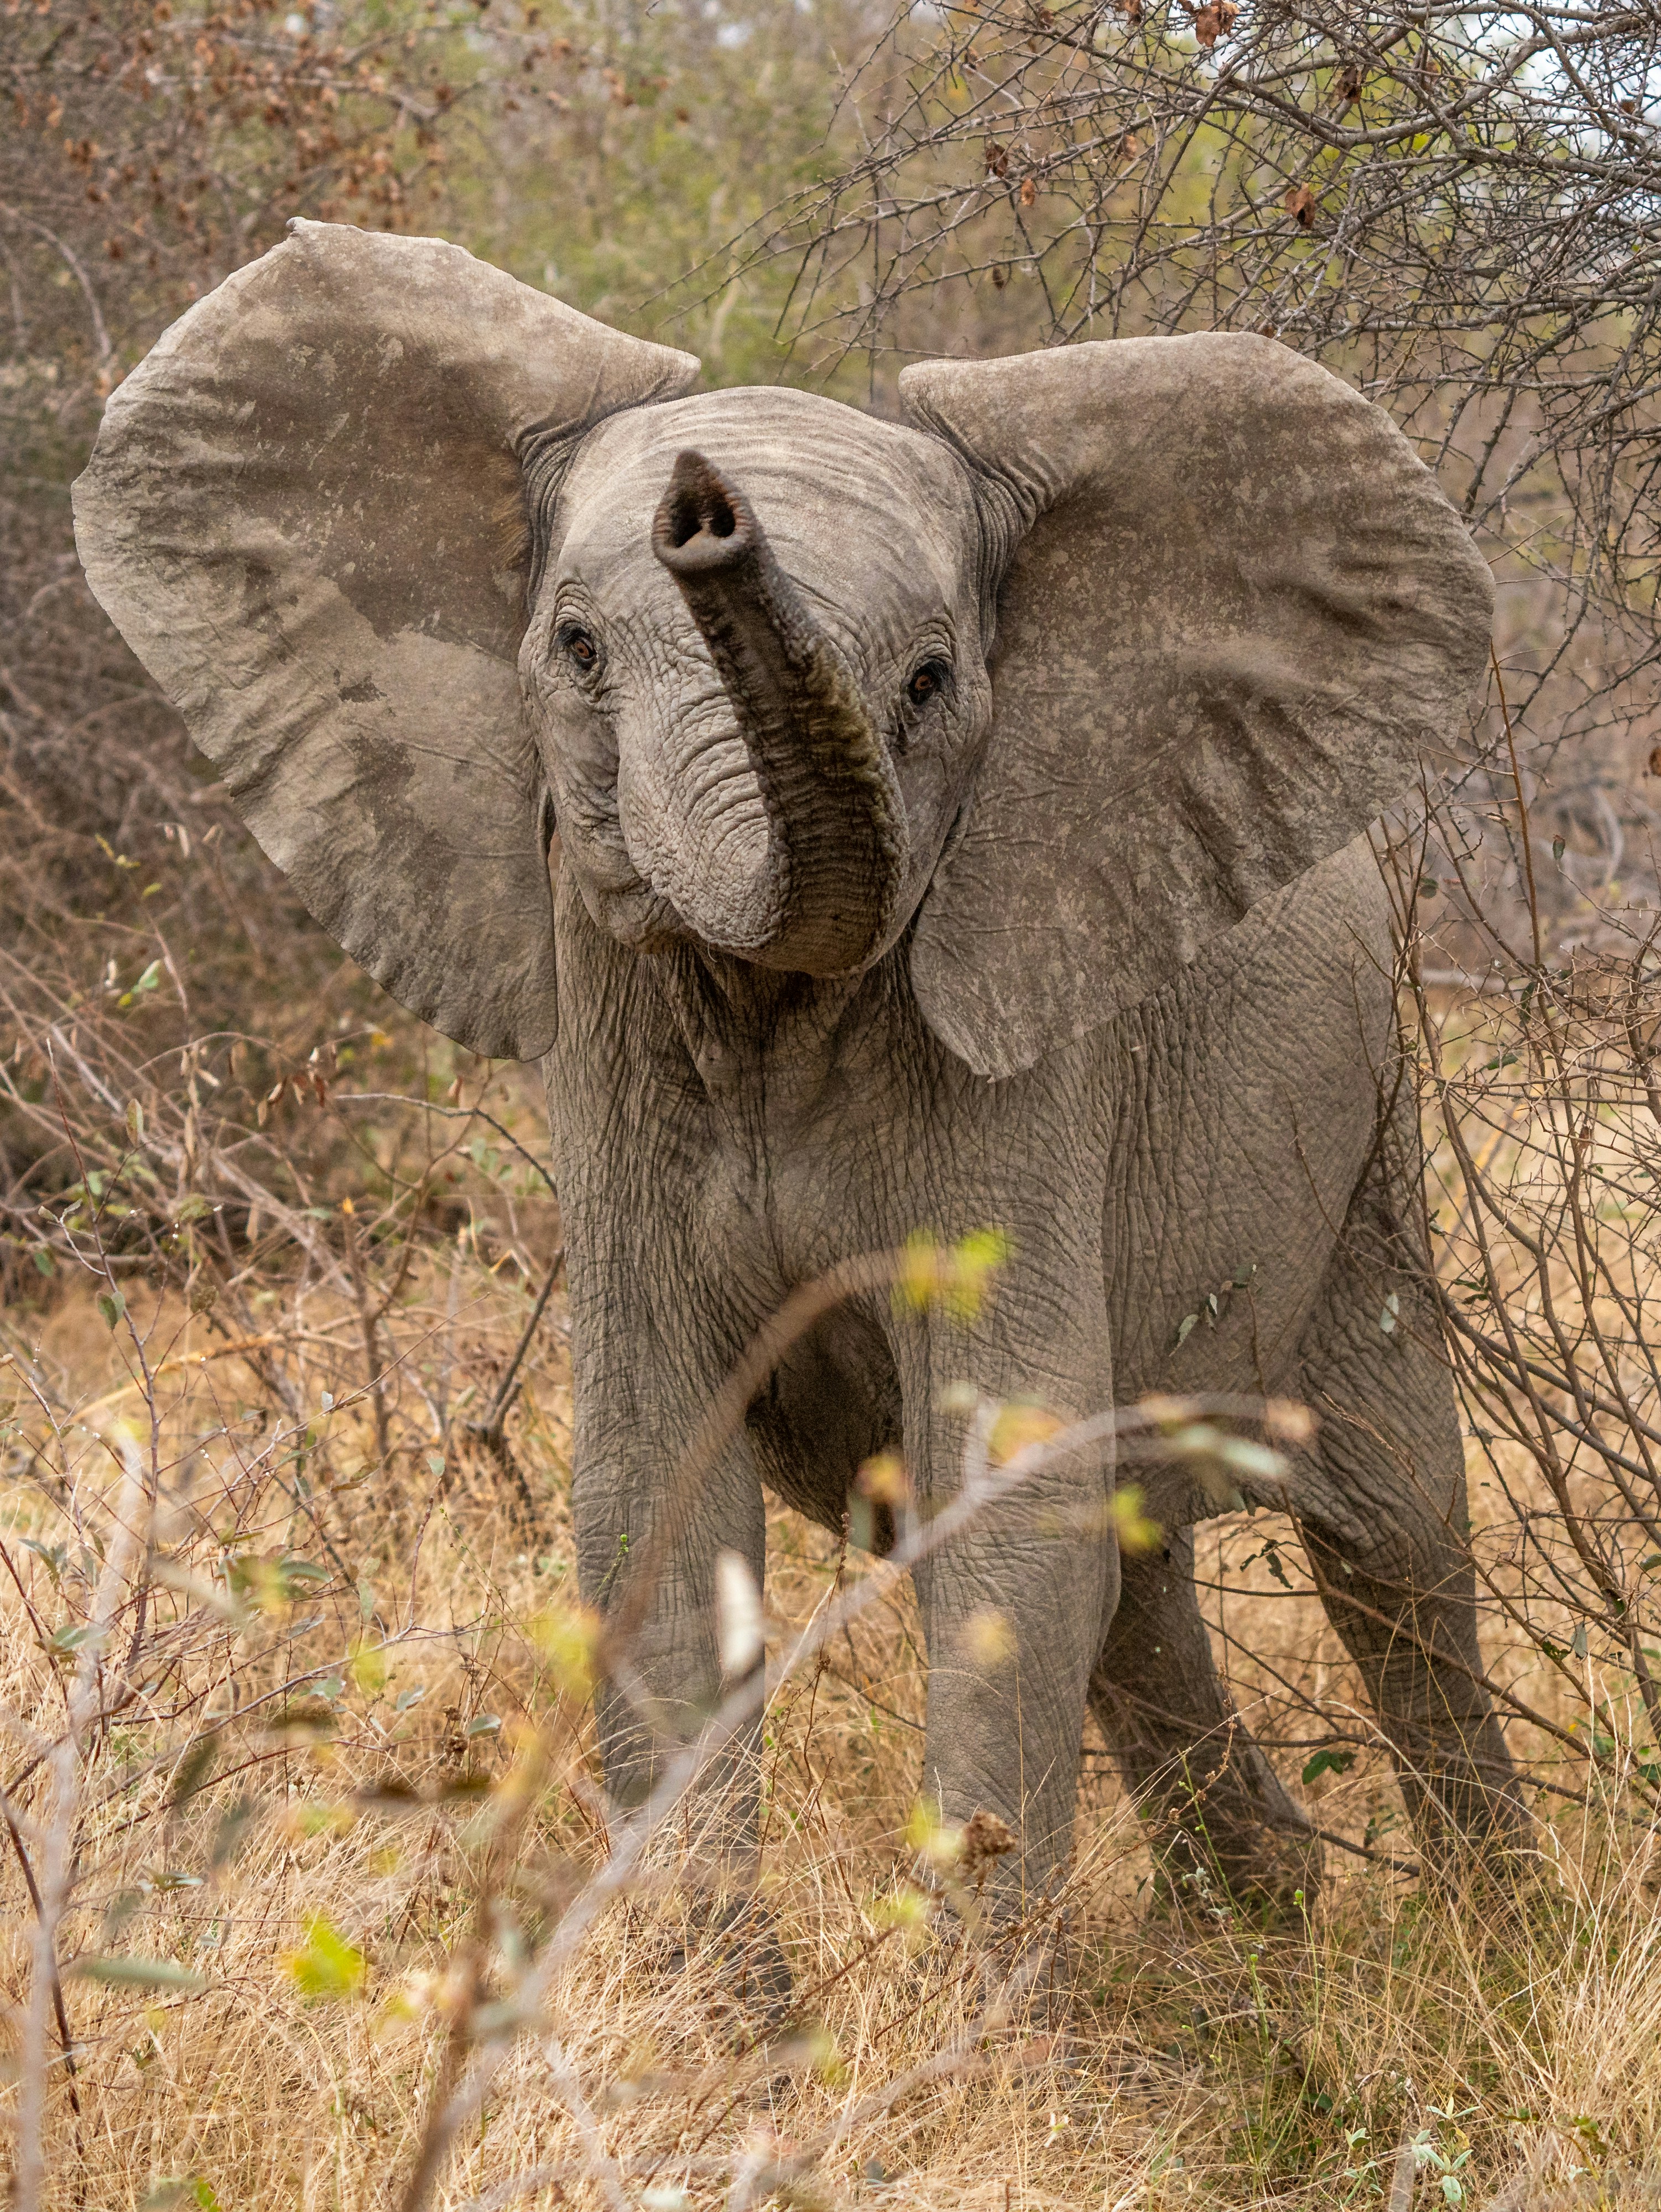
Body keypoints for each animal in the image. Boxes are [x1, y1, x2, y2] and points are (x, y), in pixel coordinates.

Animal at [74, 219, 1522, 1930]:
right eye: (575, 648)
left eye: (931, 682)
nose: (706, 510)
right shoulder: (612, 1035)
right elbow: (653, 1507)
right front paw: (712, 1992)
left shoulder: (1025, 1063)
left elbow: (1006, 1525)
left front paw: (981, 2004)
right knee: (1147, 1577)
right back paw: (1261, 1940)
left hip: (1370, 1129)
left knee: (1398, 1541)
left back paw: (1495, 1936)